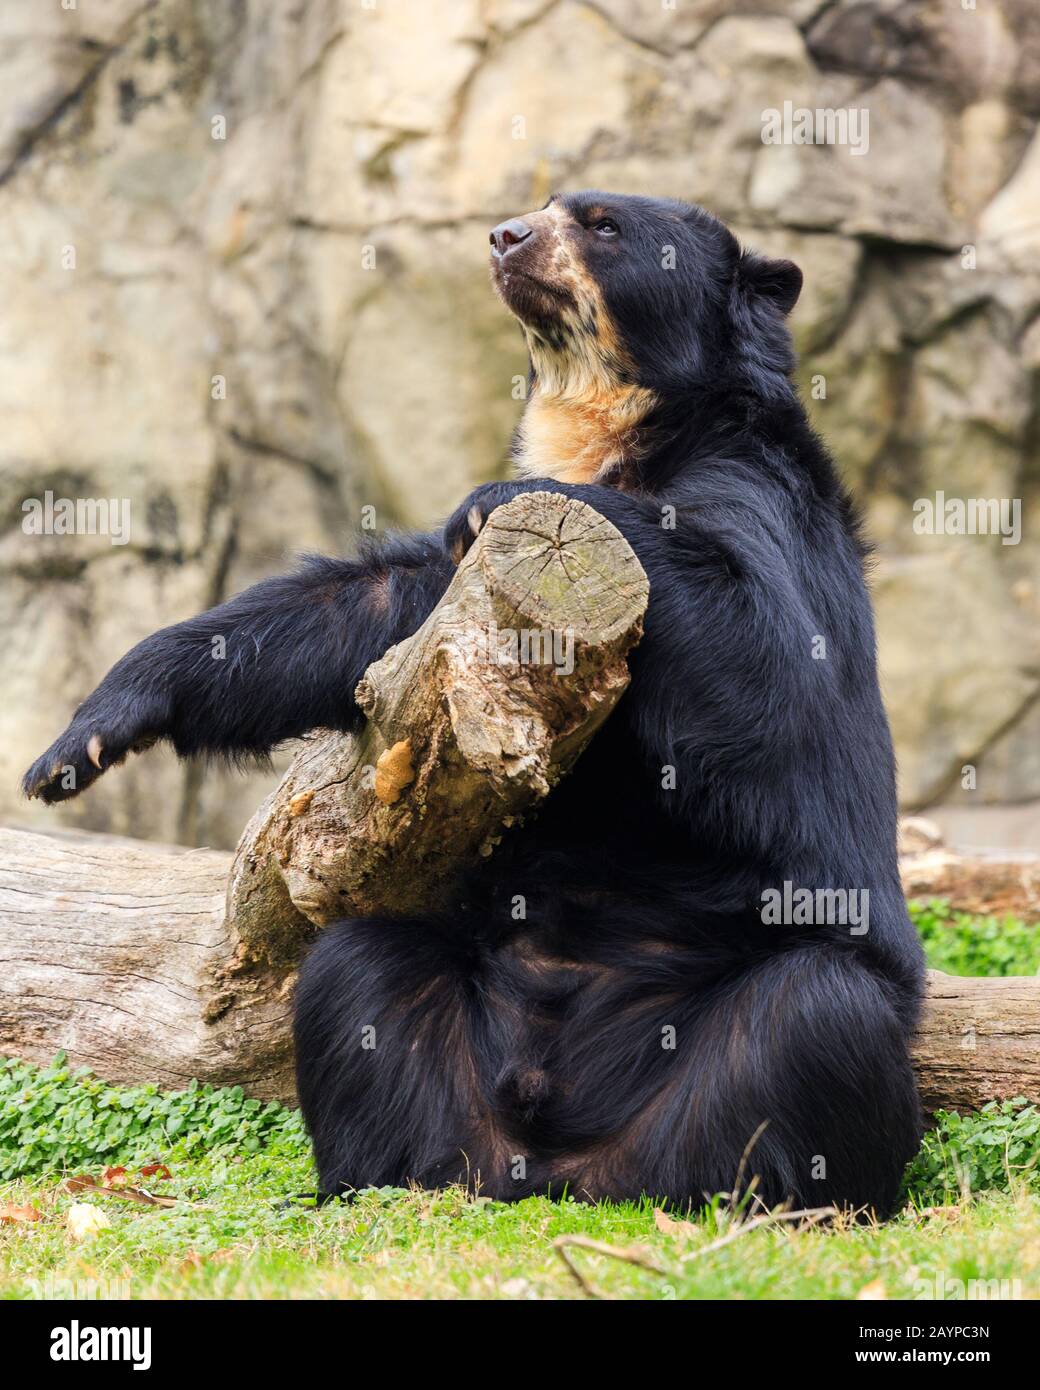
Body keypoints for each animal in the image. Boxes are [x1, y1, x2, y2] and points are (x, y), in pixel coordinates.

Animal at [23, 191, 924, 1217]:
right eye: (549, 208)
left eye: (603, 225)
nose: (503, 235)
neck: (617, 425)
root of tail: (564, 1172)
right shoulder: (460, 592)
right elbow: (362, 605)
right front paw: (80, 743)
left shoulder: (759, 496)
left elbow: (770, 672)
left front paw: (495, 493)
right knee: (355, 976)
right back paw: (385, 1183)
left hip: (748, 1033)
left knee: (820, 1013)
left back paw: (788, 1201)